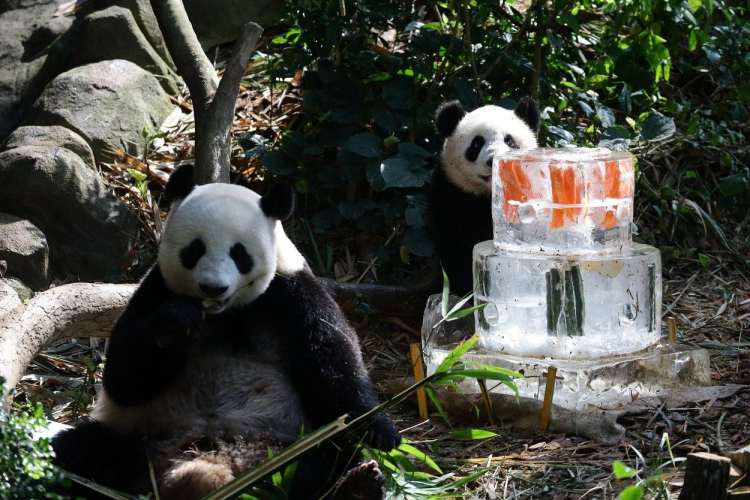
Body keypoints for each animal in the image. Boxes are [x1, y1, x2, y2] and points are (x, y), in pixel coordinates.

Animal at [50, 164, 401, 500]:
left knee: (328, 457)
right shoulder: (155, 290)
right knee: (79, 450)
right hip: (143, 439)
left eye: (240, 253)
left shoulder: (292, 293)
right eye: (195, 250)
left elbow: (332, 360)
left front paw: (380, 430)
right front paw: (179, 320)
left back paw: (359, 485)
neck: (226, 312)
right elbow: (125, 376)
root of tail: (209, 464)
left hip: (284, 443)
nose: (213, 288)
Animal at [427, 98, 541, 296]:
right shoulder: (450, 191)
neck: (490, 193)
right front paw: (467, 289)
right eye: (476, 144)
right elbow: (454, 243)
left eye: (510, 141)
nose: (493, 160)